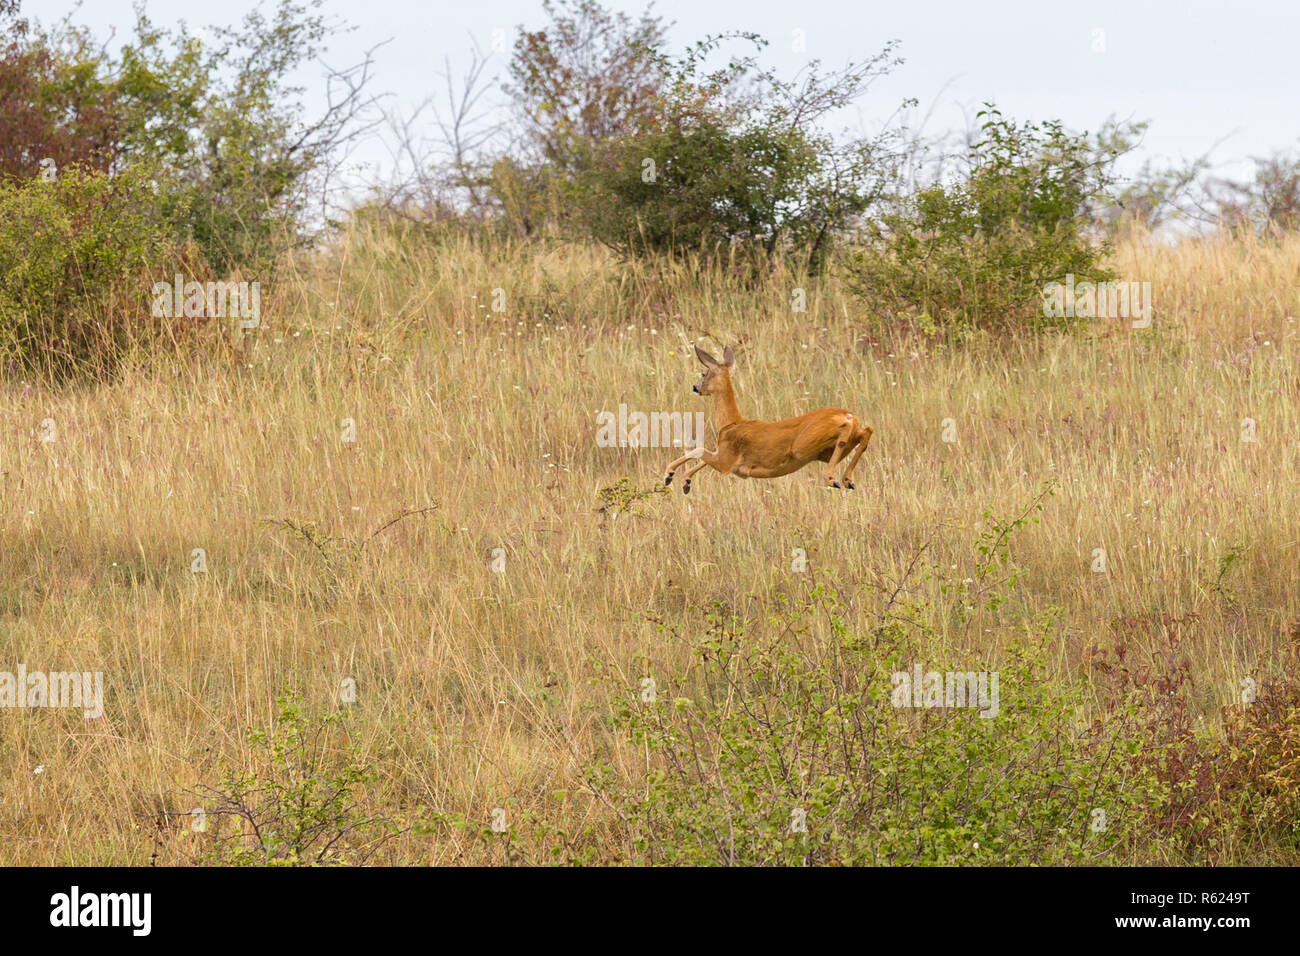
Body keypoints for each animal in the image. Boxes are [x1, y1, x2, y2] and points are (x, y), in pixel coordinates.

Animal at [663, 345, 874, 495]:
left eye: (704, 373)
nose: (695, 387)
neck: (730, 423)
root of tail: (849, 414)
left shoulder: (726, 462)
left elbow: (699, 450)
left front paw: (669, 475)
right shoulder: (724, 456)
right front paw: (685, 482)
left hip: (804, 445)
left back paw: (832, 478)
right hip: (827, 451)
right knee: (866, 431)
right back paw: (847, 481)